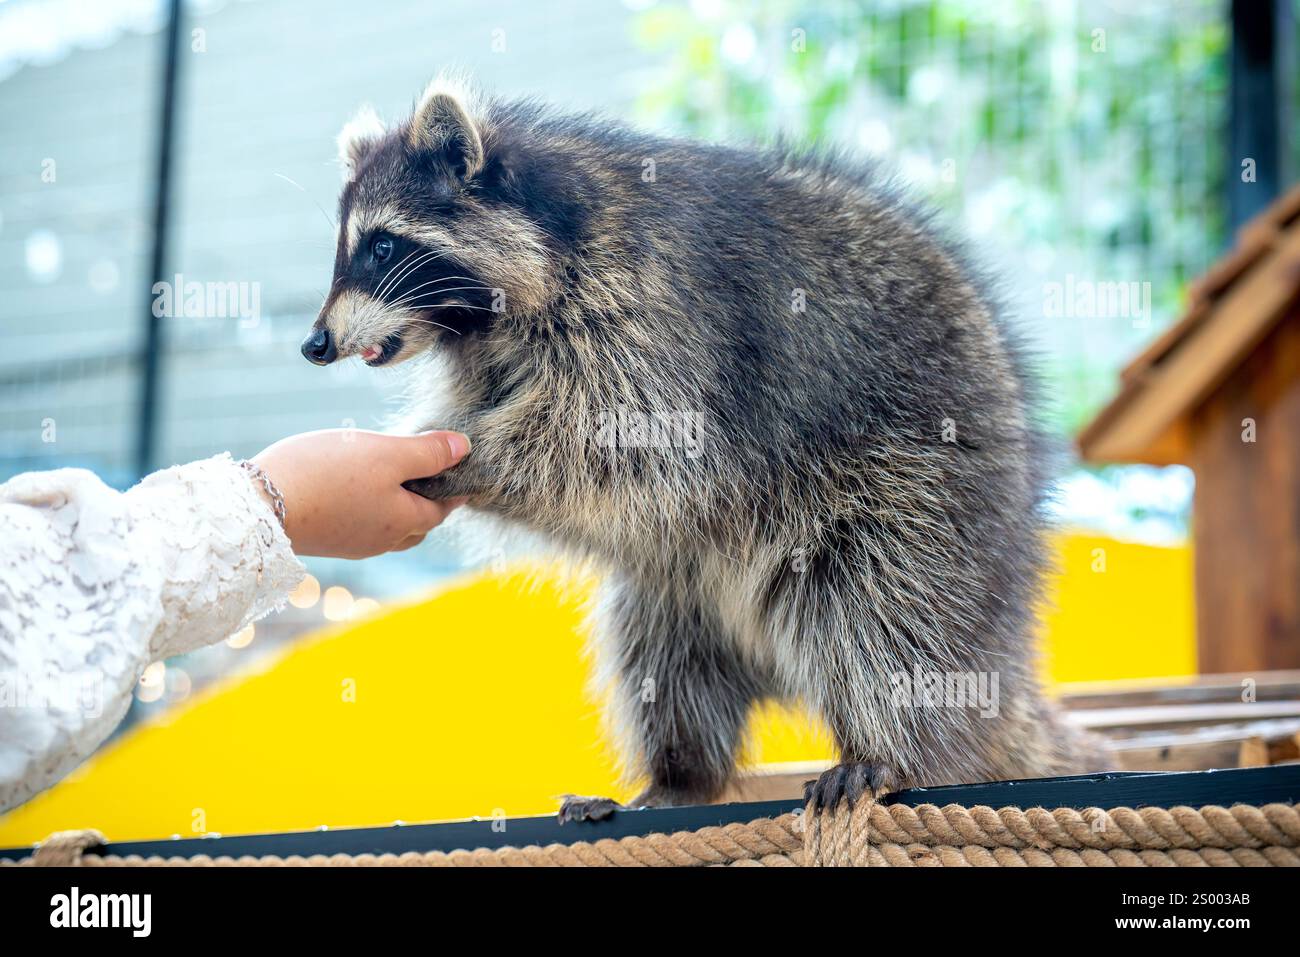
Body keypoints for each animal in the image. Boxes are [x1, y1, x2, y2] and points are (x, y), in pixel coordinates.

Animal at [304, 78, 1110, 819]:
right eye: (346, 248)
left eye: (382, 244)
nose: (314, 345)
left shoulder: (655, 305)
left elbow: (623, 436)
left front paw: (465, 456)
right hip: (683, 582)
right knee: (661, 651)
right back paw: (680, 773)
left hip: (929, 489)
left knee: (891, 607)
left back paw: (887, 747)